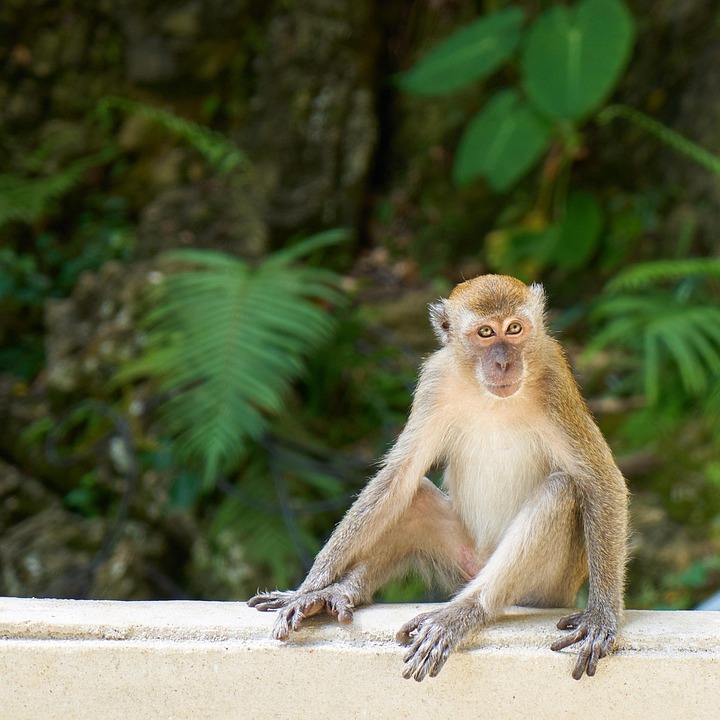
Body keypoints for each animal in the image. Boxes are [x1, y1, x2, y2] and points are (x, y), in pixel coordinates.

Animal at [248, 274, 628, 681]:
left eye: (514, 329)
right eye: (485, 332)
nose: (504, 362)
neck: (488, 396)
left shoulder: (556, 380)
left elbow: (600, 481)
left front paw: (602, 617)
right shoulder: (435, 380)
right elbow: (399, 477)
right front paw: (307, 589)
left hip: (547, 586)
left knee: (560, 490)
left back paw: (462, 613)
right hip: (462, 558)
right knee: (413, 499)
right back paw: (341, 592)